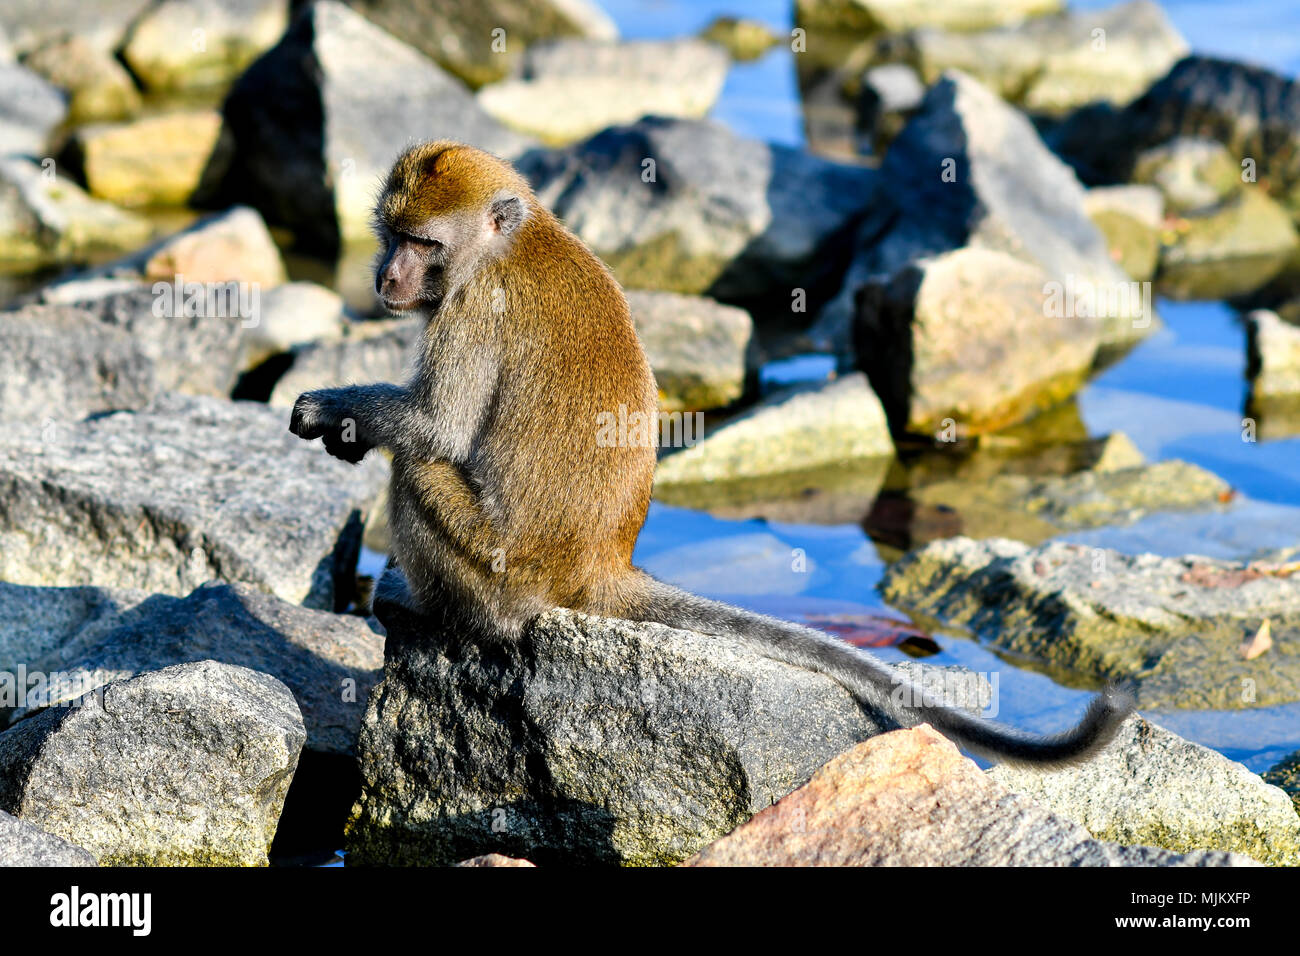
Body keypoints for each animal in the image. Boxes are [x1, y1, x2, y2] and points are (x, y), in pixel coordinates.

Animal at [289, 140, 1133, 766]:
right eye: (391, 234)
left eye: (422, 243)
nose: (386, 274)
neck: (510, 243)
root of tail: (598, 565)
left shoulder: (467, 308)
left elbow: (437, 431)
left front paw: (336, 411)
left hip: (497, 572)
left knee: (421, 475)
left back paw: (428, 608)